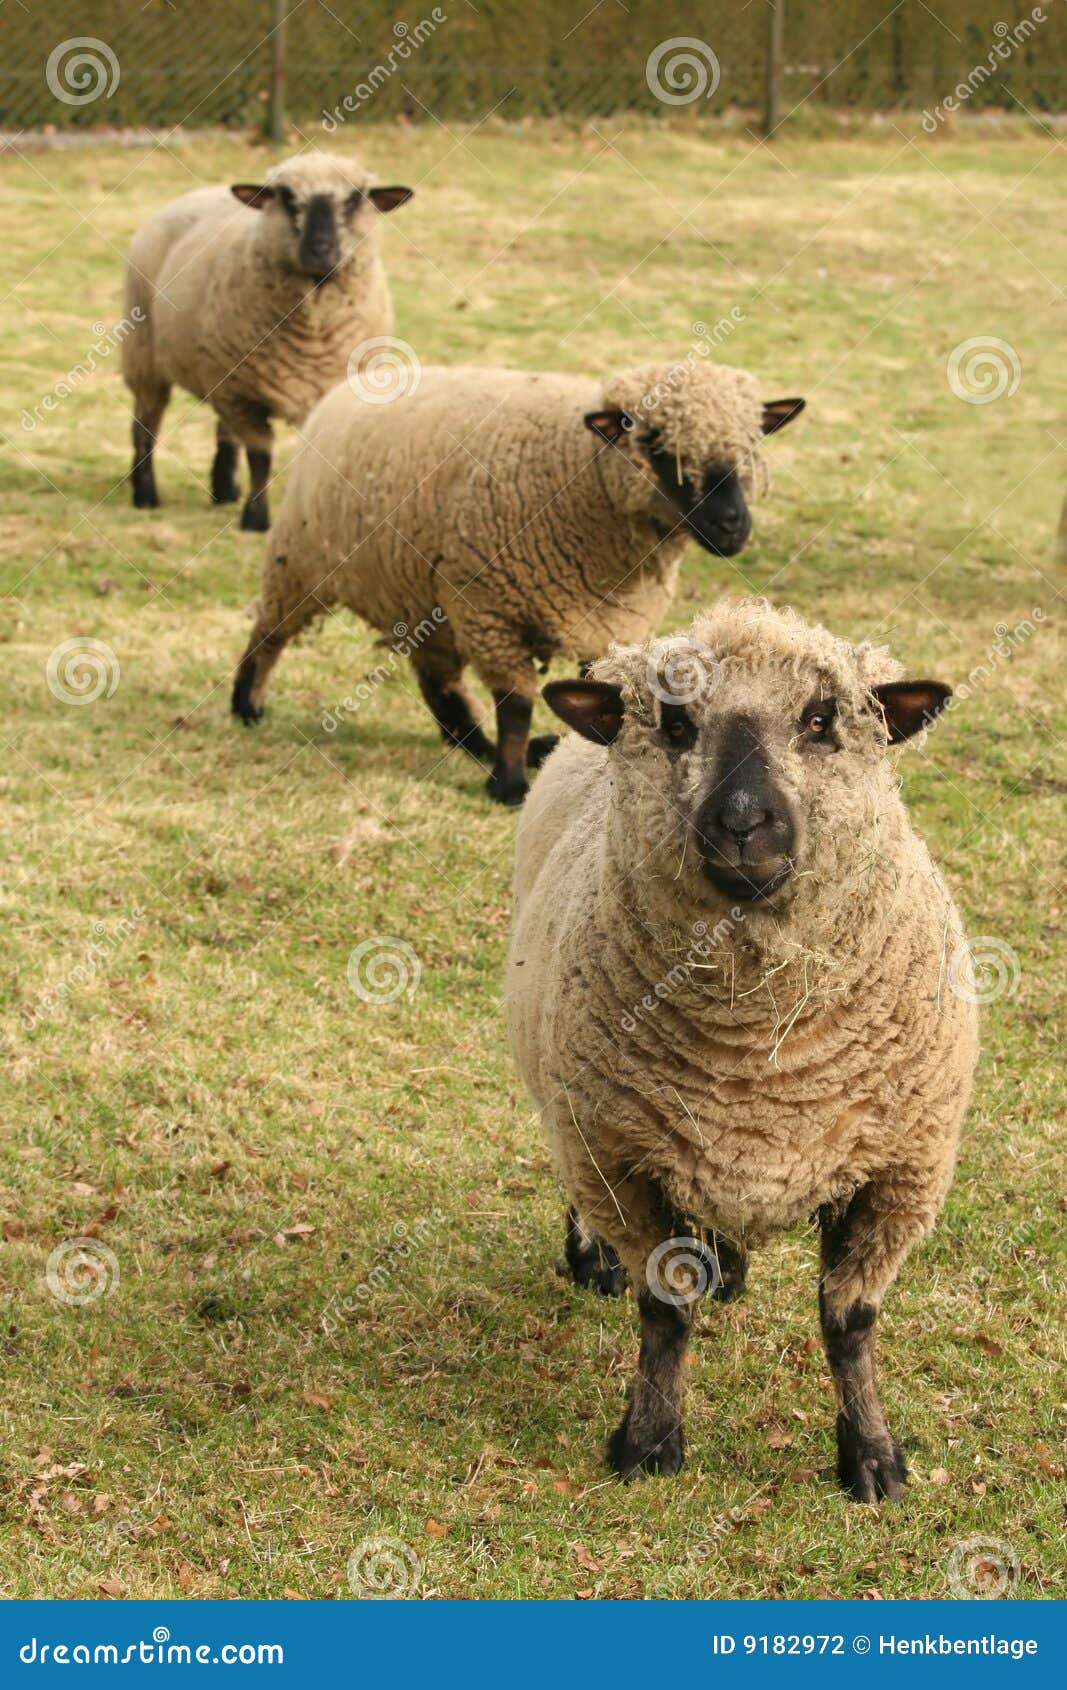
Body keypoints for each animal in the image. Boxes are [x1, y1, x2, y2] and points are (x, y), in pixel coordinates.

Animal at [121, 151, 413, 531]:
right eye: (287, 197)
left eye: (354, 199)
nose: (320, 251)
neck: (313, 334)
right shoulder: (244, 395)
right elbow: (260, 456)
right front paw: (256, 518)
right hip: (144, 352)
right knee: (145, 422)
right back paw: (145, 493)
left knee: (223, 429)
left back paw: (224, 489)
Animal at [230, 359, 804, 803]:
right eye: (658, 447)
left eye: (751, 447)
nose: (732, 526)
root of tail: (354, 383)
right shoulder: (491, 610)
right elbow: (516, 704)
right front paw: (507, 785)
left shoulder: (607, 622)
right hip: (302, 558)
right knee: (271, 629)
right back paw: (246, 704)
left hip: (422, 592)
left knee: (437, 676)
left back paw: (471, 744)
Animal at [504, 598, 979, 1500]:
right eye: (674, 723)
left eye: (823, 719)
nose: (743, 824)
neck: (758, 1056)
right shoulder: (620, 1157)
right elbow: (663, 1308)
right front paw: (648, 1441)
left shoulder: (899, 1170)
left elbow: (849, 1320)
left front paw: (871, 1457)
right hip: (568, 1095)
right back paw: (592, 1259)